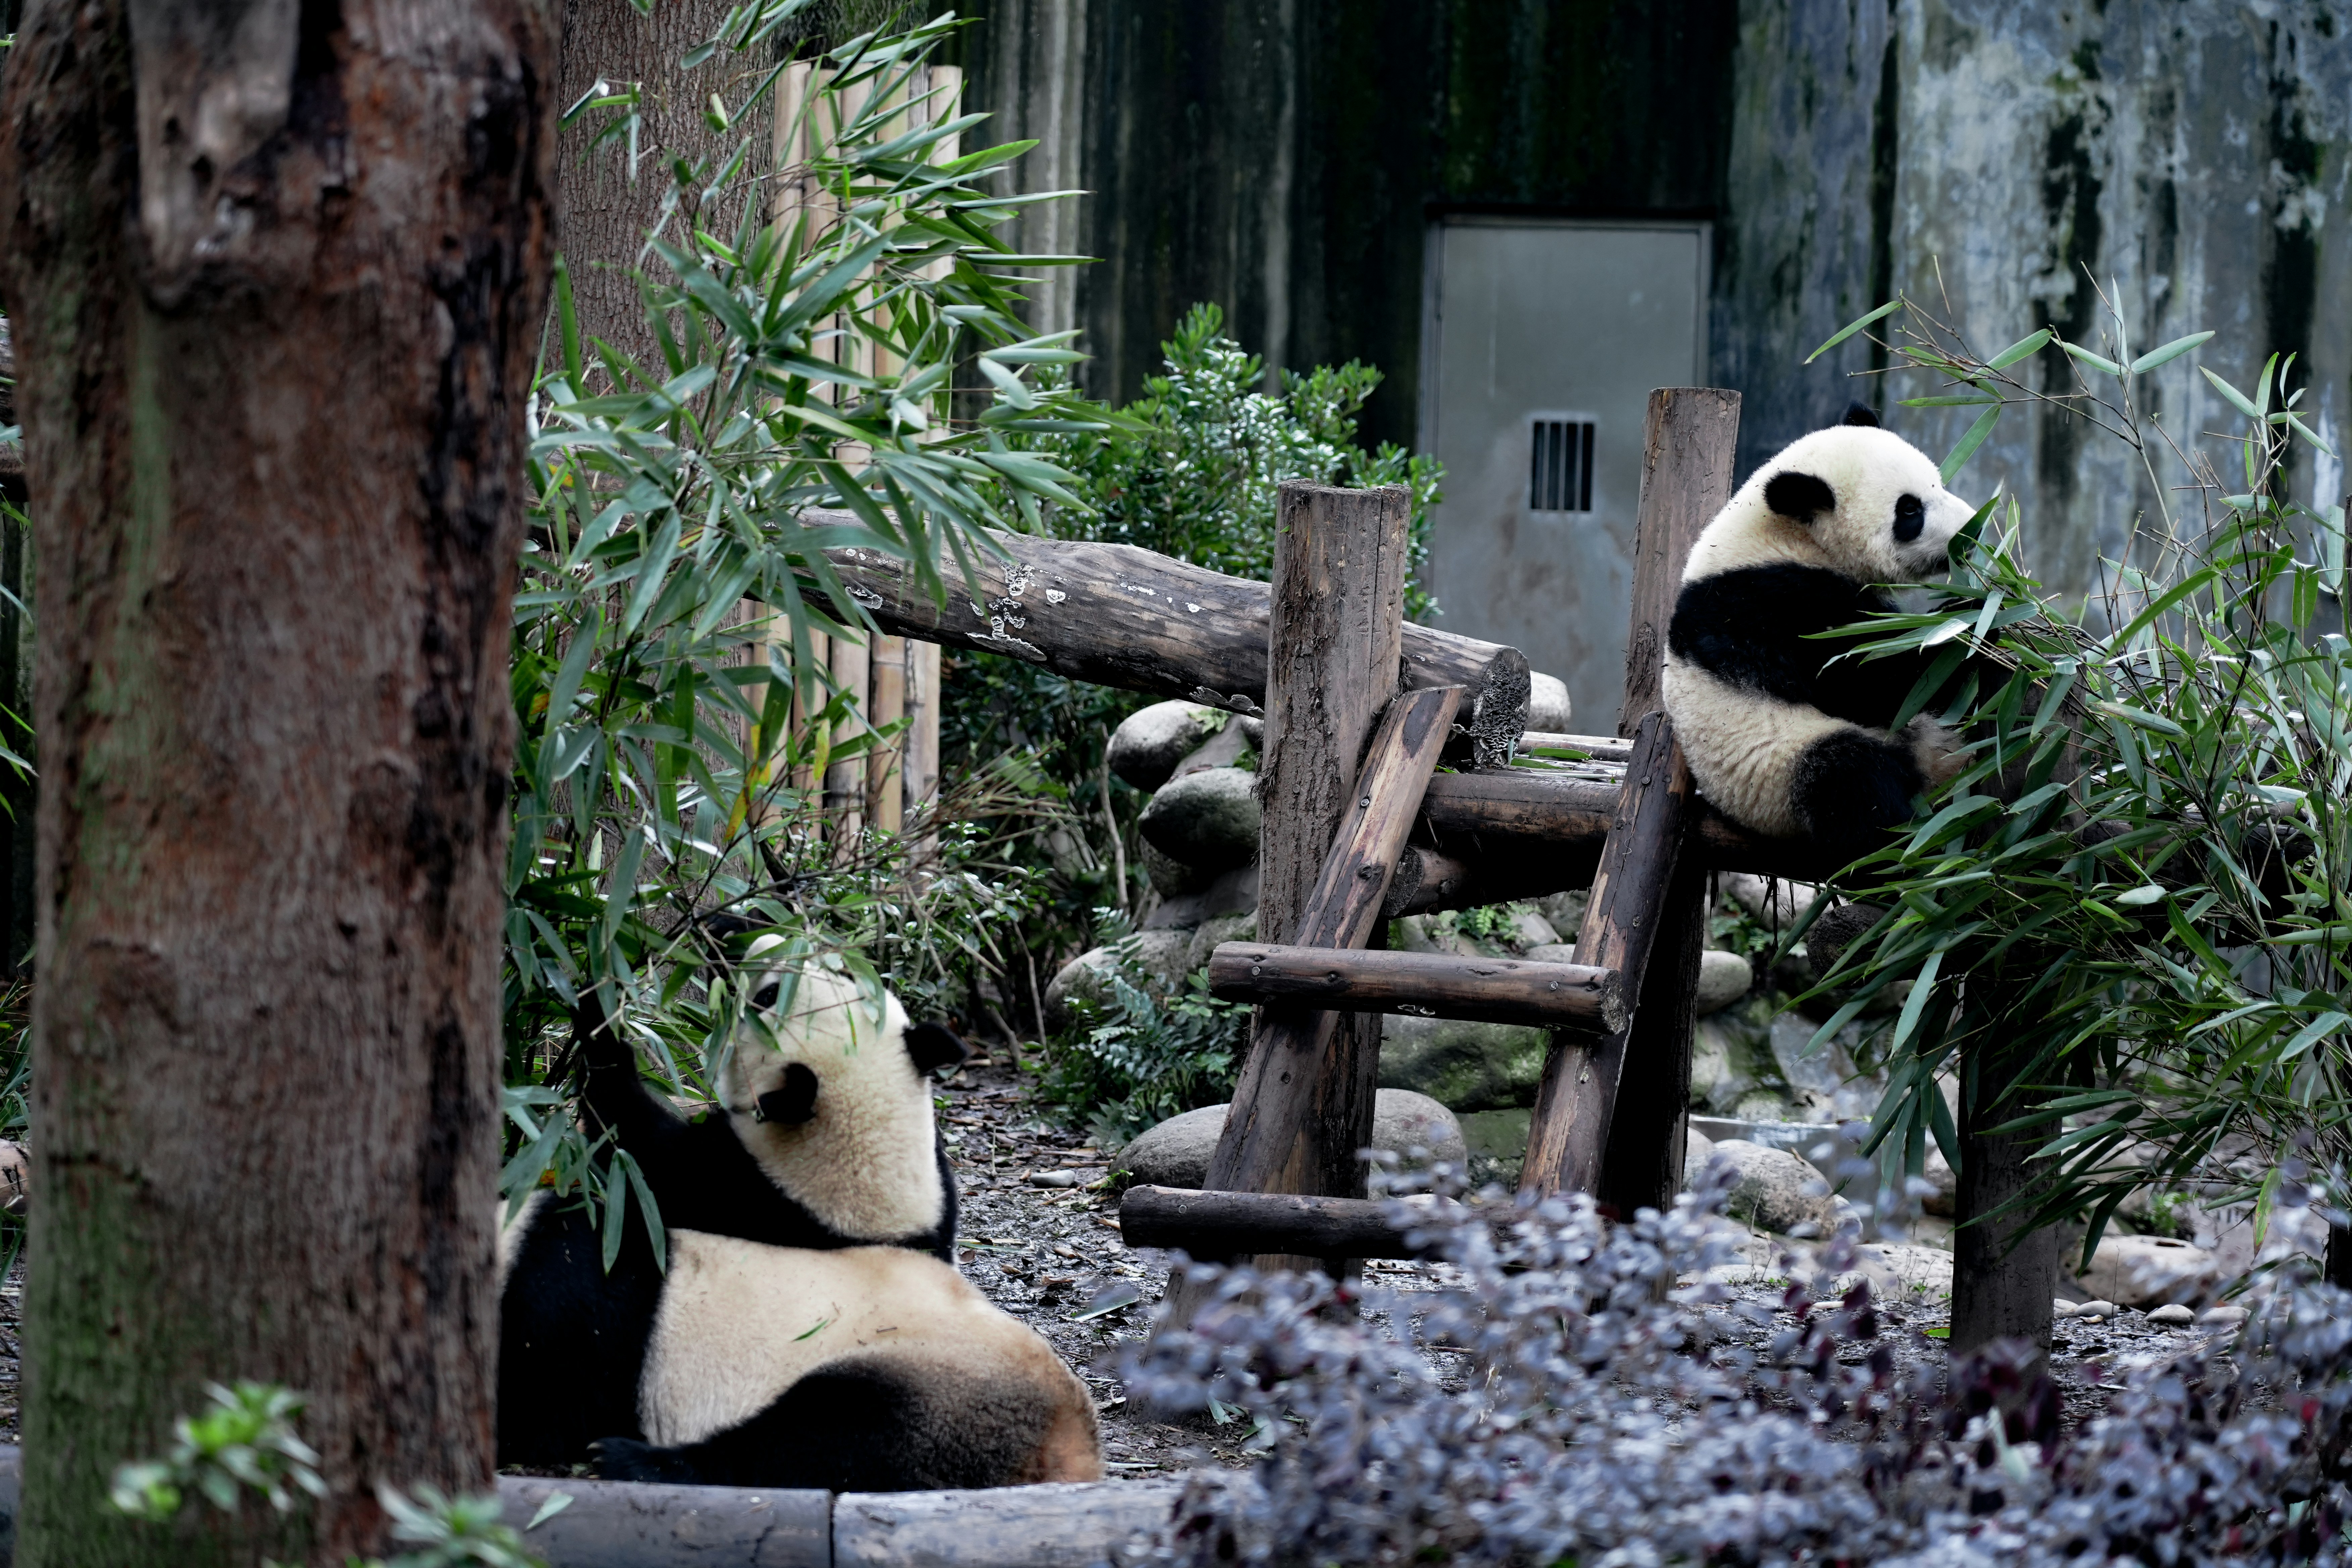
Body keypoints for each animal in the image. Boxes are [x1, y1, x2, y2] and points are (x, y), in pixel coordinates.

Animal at [1662, 405, 1980, 857]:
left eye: (1937, 482)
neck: (1787, 536)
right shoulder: (1776, 603)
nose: (1972, 530)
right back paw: (1910, 838)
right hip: (1778, 770)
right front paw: (1969, 628)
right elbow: (1871, 683)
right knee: (1852, 778)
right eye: (1909, 511)